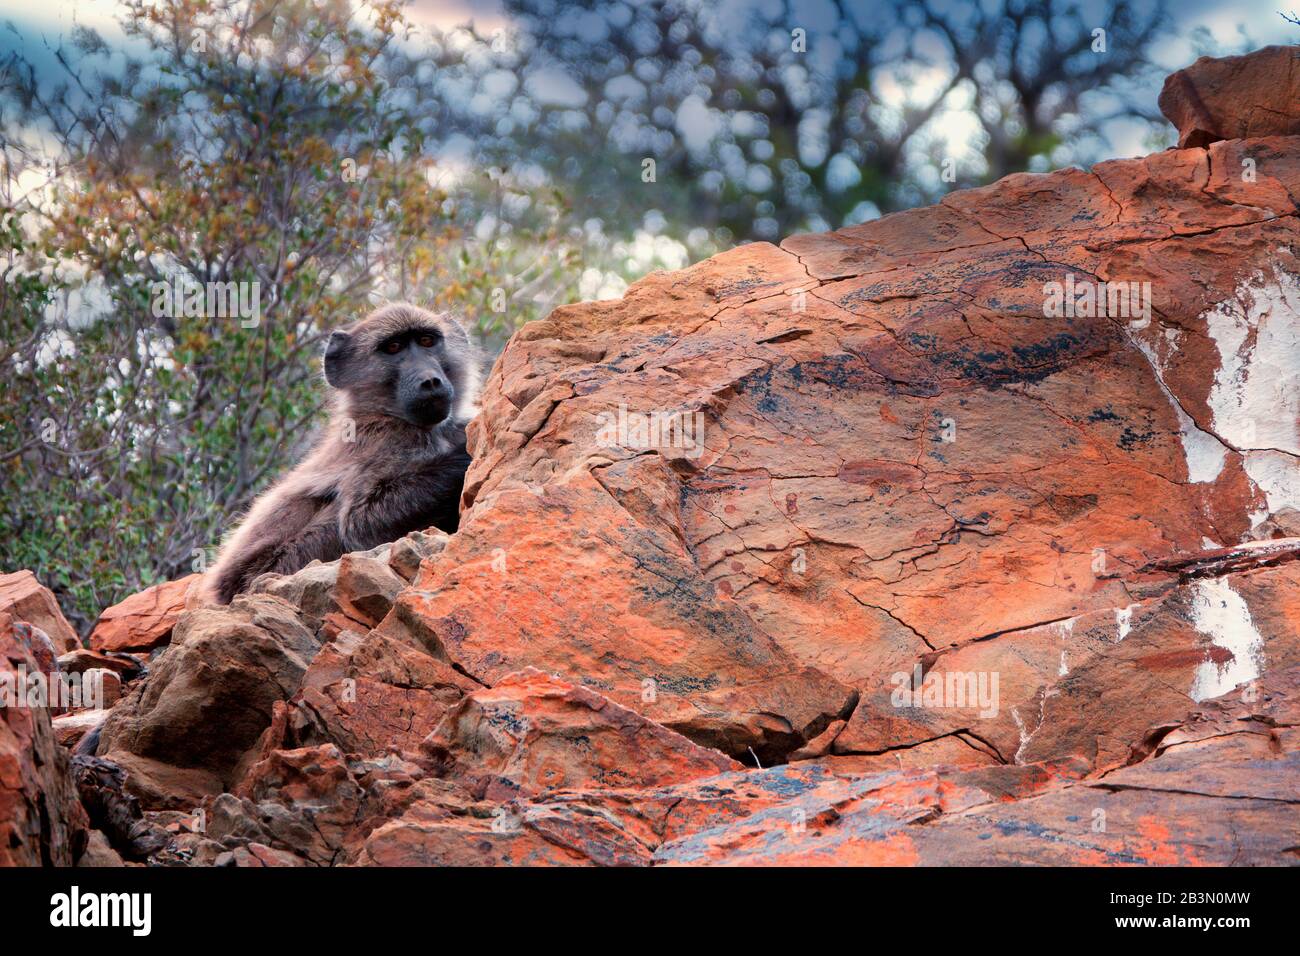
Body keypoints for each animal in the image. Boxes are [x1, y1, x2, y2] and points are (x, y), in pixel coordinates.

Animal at [204, 303, 479, 604]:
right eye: (393, 347)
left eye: (427, 341)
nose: (429, 381)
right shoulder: (389, 441)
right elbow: (359, 524)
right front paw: (464, 454)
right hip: (277, 567)